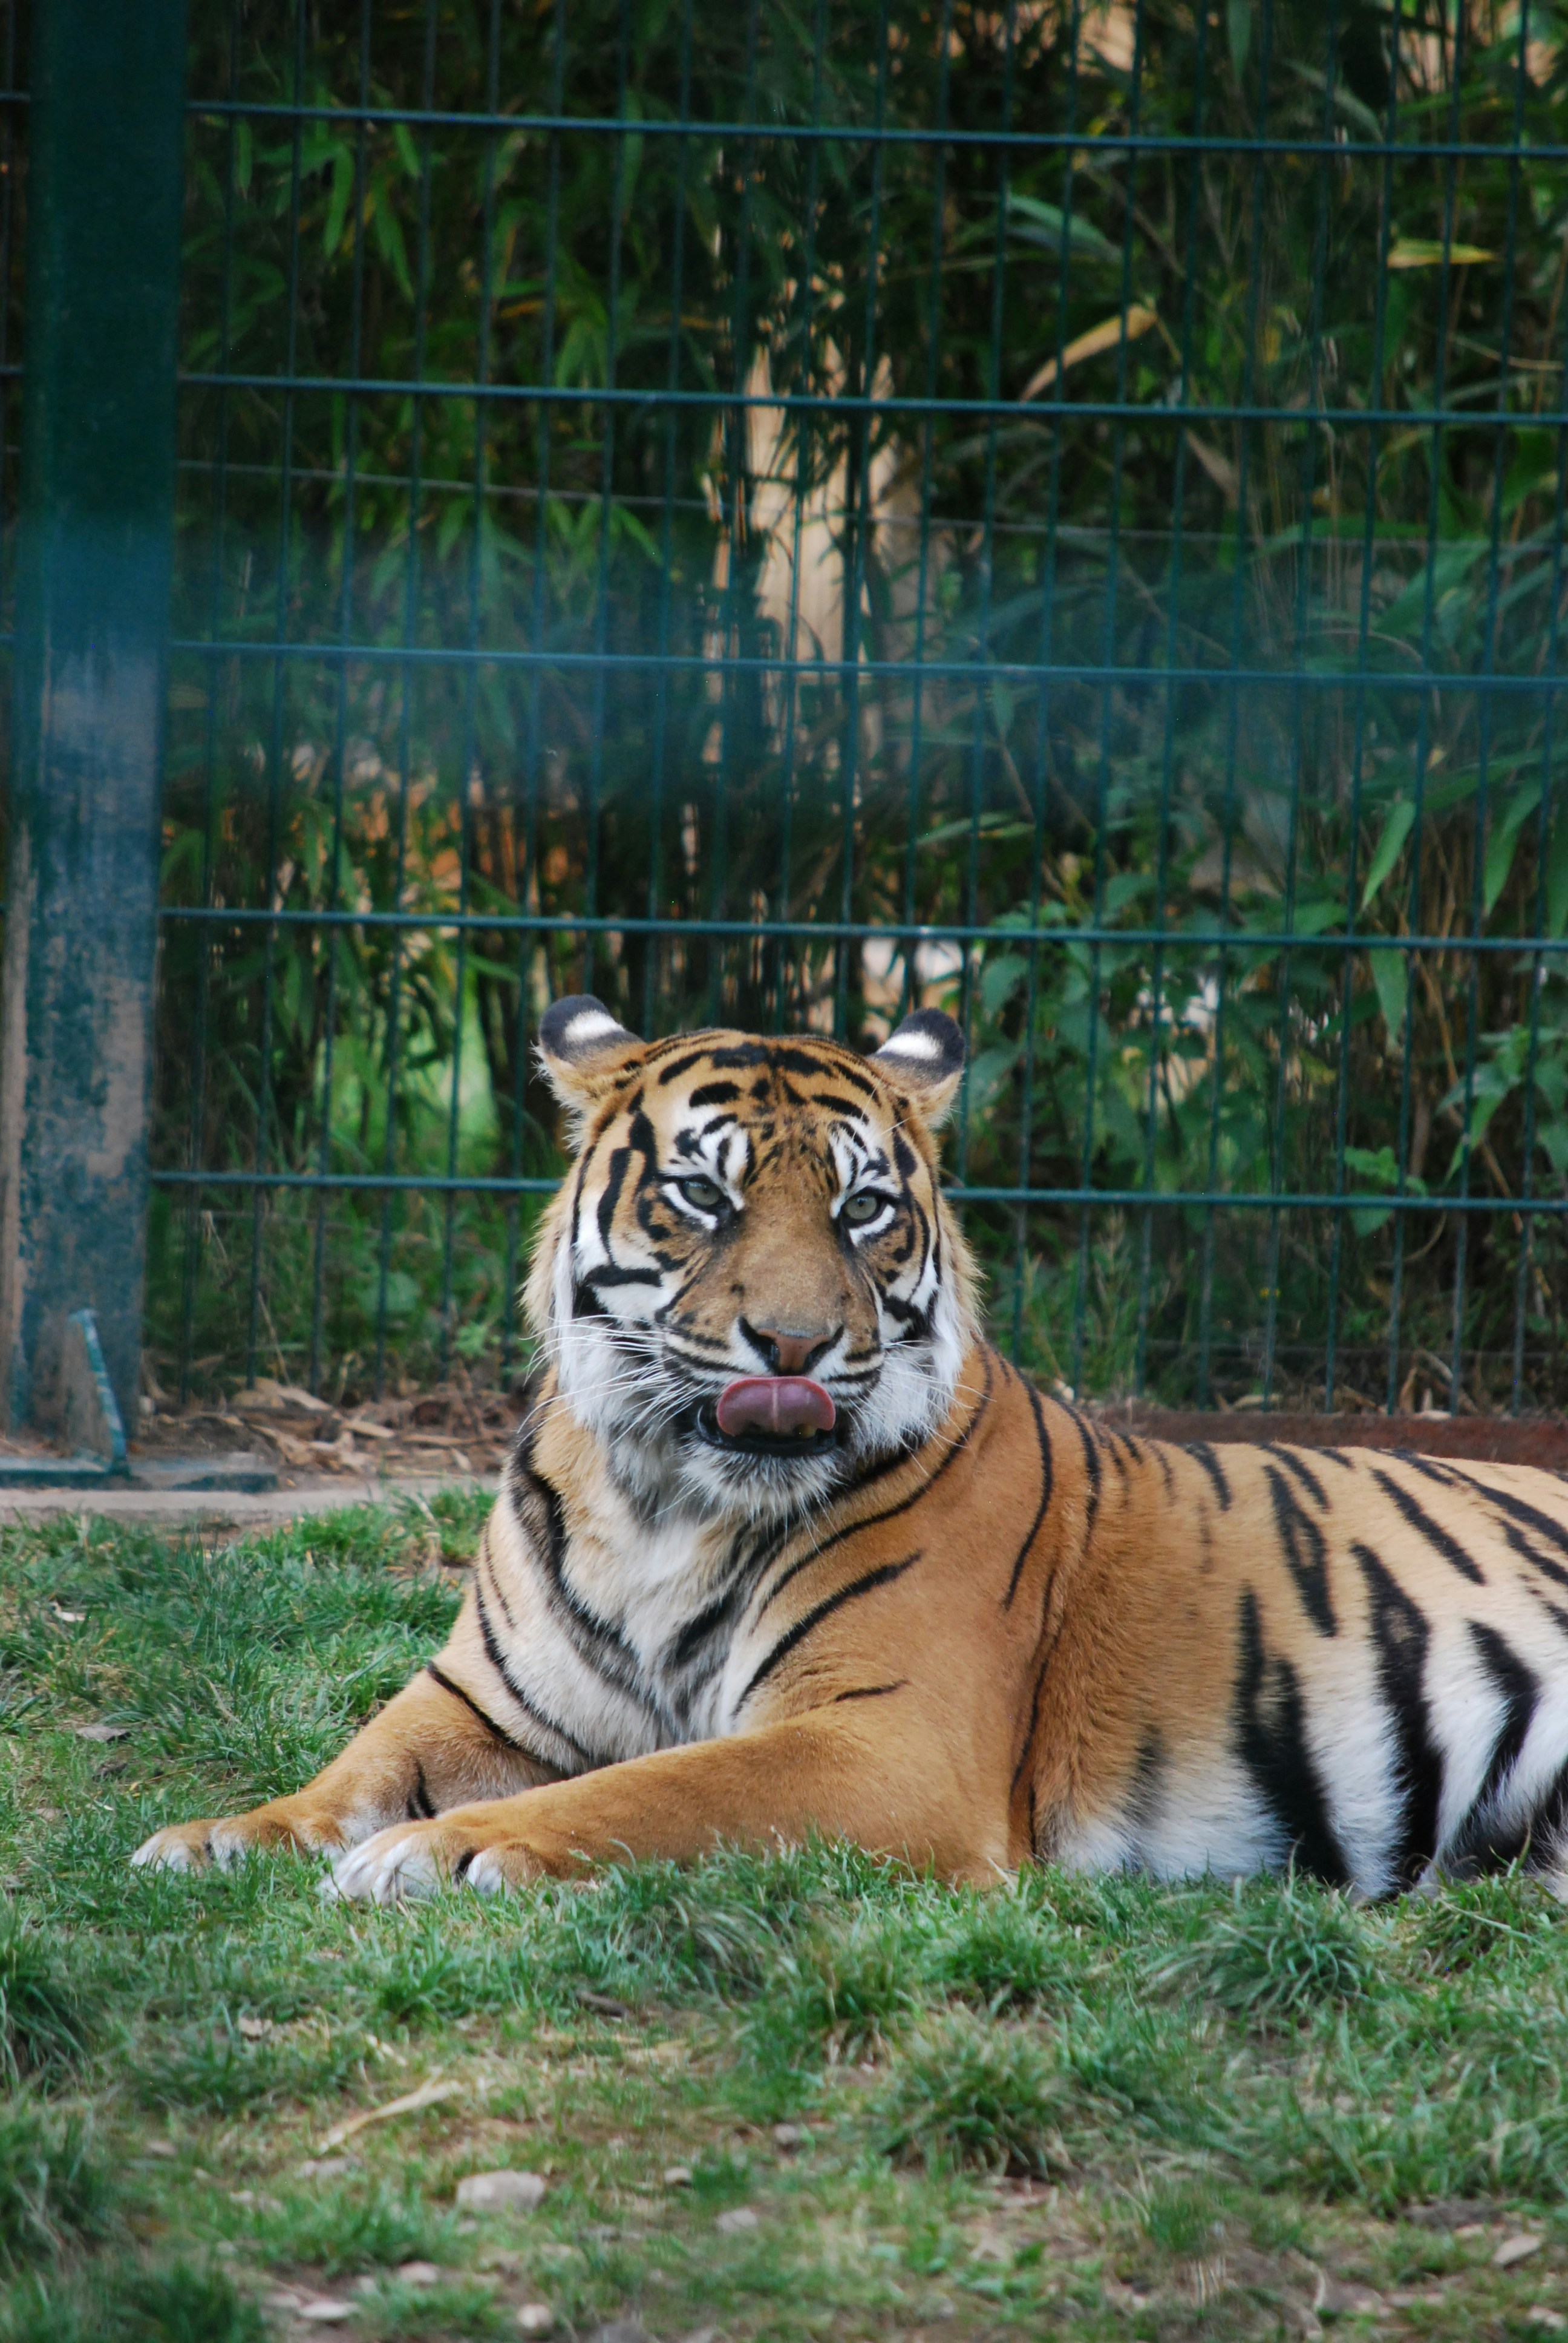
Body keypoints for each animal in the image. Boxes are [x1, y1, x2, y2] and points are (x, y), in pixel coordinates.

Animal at [135, 995, 1568, 1904]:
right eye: (702, 1195)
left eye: (862, 1207)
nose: (796, 1342)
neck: (663, 1503)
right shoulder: (484, 1697)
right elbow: (354, 1767)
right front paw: (217, 1838)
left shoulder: (886, 1740)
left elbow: (662, 1790)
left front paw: (438, 1852)